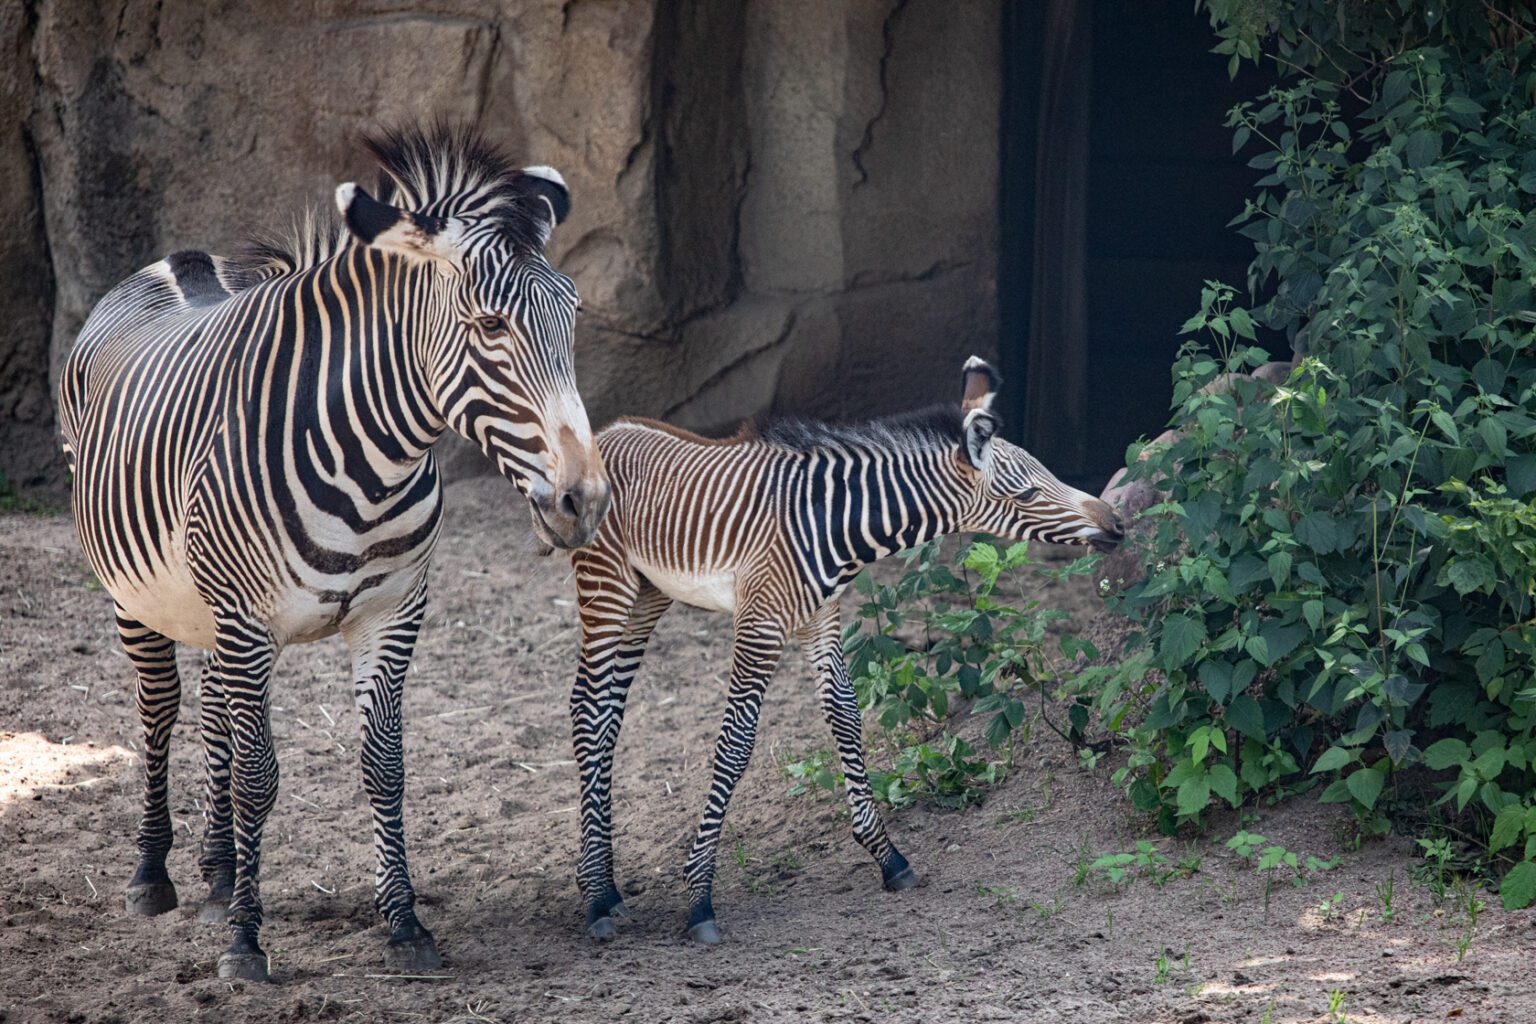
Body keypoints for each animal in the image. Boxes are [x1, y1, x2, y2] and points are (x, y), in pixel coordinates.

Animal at [57, 124, 609, 982]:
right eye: (491, 326)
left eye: (573, 315)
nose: (584, 502)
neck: (372, 459)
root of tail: (183, 261)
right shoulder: (249, 621)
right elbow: (259, 776)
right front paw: (246, 945)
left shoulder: (392, 611)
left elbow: (384, 765)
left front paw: (404, 923)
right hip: (136, 592)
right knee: (161, 708)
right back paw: (155, 874)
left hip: (209, 606)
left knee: (214, 711)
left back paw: (221, 872)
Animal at [566, 357, 1123, 944]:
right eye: (1028, 496)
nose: (1117, 523)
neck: (835, 525)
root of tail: (607, 431)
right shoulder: (760, 624)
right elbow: (736, 745)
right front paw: (699, 898)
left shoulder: (821, 623)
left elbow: (846, 718)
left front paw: (888, 857)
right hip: (606, 584)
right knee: (587, 707)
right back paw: (598, 897)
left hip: (649, 595)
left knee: (608, 713)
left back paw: (605, 887)